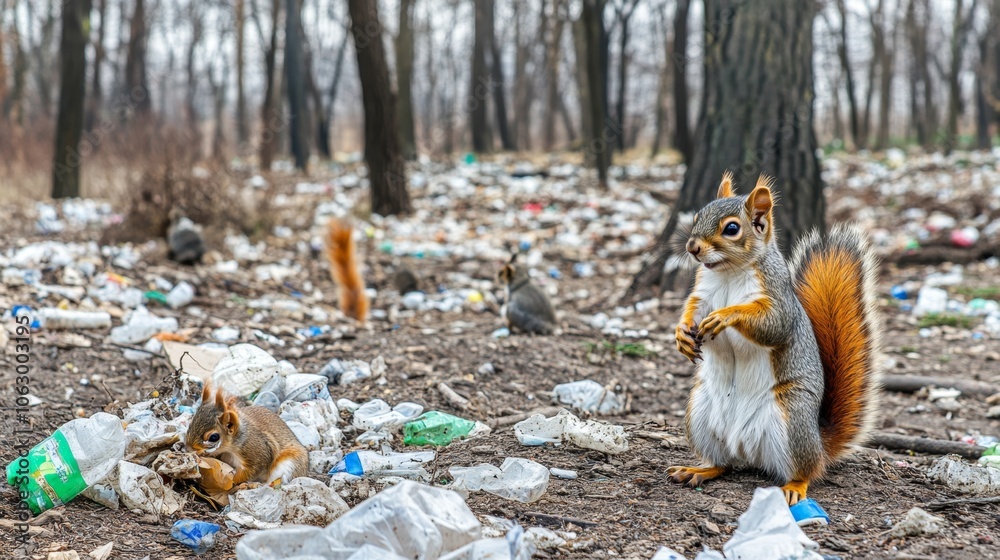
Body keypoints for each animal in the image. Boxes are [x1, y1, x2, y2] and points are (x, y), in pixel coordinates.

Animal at [669, 172, 881, 505]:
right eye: (697, 216)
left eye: (732, 228)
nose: (692, 248)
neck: (728, 272)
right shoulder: (702, 294)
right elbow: (691, 309)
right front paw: (681, 334)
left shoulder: (778, 300)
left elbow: (773, 325)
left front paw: (725, 315)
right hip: (700, 413)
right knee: (723, 463)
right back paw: (699, 469)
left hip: (792, 418)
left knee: (806, 470)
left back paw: (795, 486)